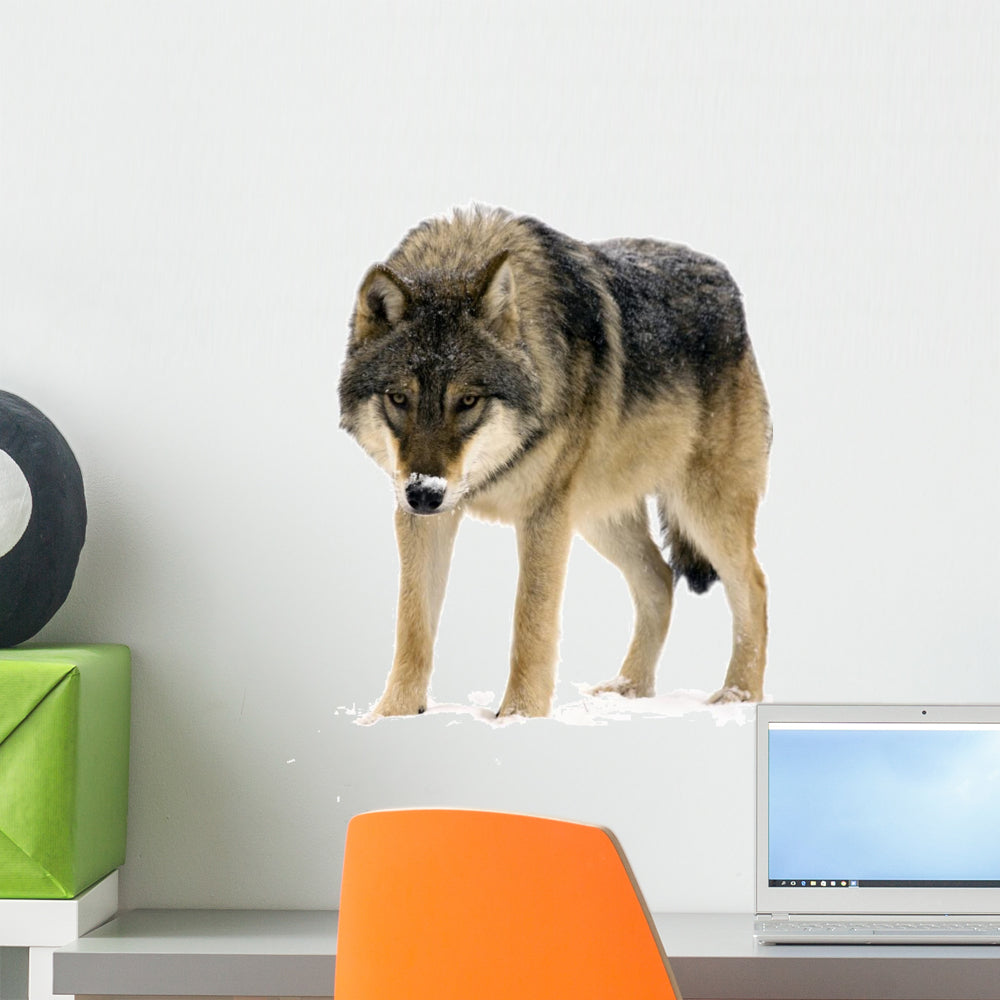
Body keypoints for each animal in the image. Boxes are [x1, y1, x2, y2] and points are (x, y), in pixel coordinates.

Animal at [338, 207, 771, 718]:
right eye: (398, 398)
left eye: (468, 400)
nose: (425, 493)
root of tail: (724, 279)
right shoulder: (424, 517)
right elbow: (412, 623)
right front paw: (393, 716)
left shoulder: (543, 515)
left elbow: (531, 622)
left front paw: (519, 716)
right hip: (598, 516)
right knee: (660, 579)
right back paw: (629, 689)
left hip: (700, 509)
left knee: (754, 588)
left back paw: (737, 695)